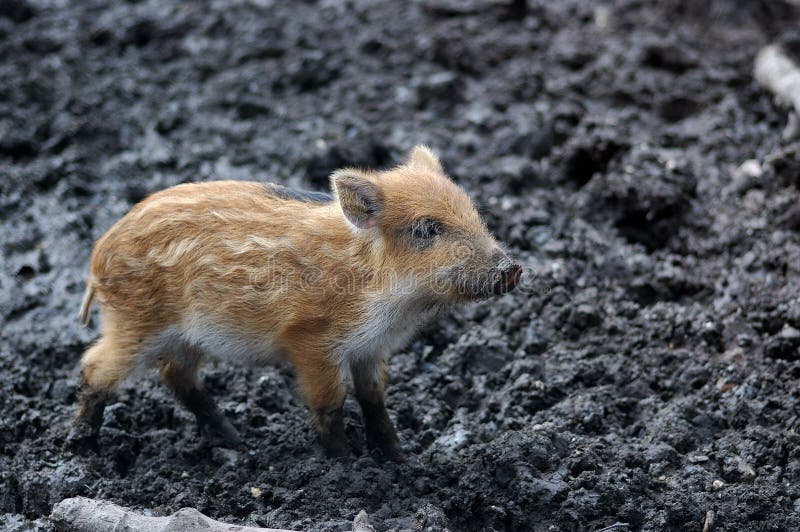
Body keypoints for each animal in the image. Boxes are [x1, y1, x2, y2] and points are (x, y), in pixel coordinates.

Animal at [69, 146, 522, 461]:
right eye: (426, 229)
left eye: (472, 211)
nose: (512, 268)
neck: (388, 298)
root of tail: (97, 256)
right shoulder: (311, 342)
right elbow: (330, 403)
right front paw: (346, 463)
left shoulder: (371, 348)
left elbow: (374, 400)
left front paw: (400, 459)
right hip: (136, 322)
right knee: (94, 367)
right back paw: (81, 448)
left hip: (185, 338)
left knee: (176, 378)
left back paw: (239, 442)